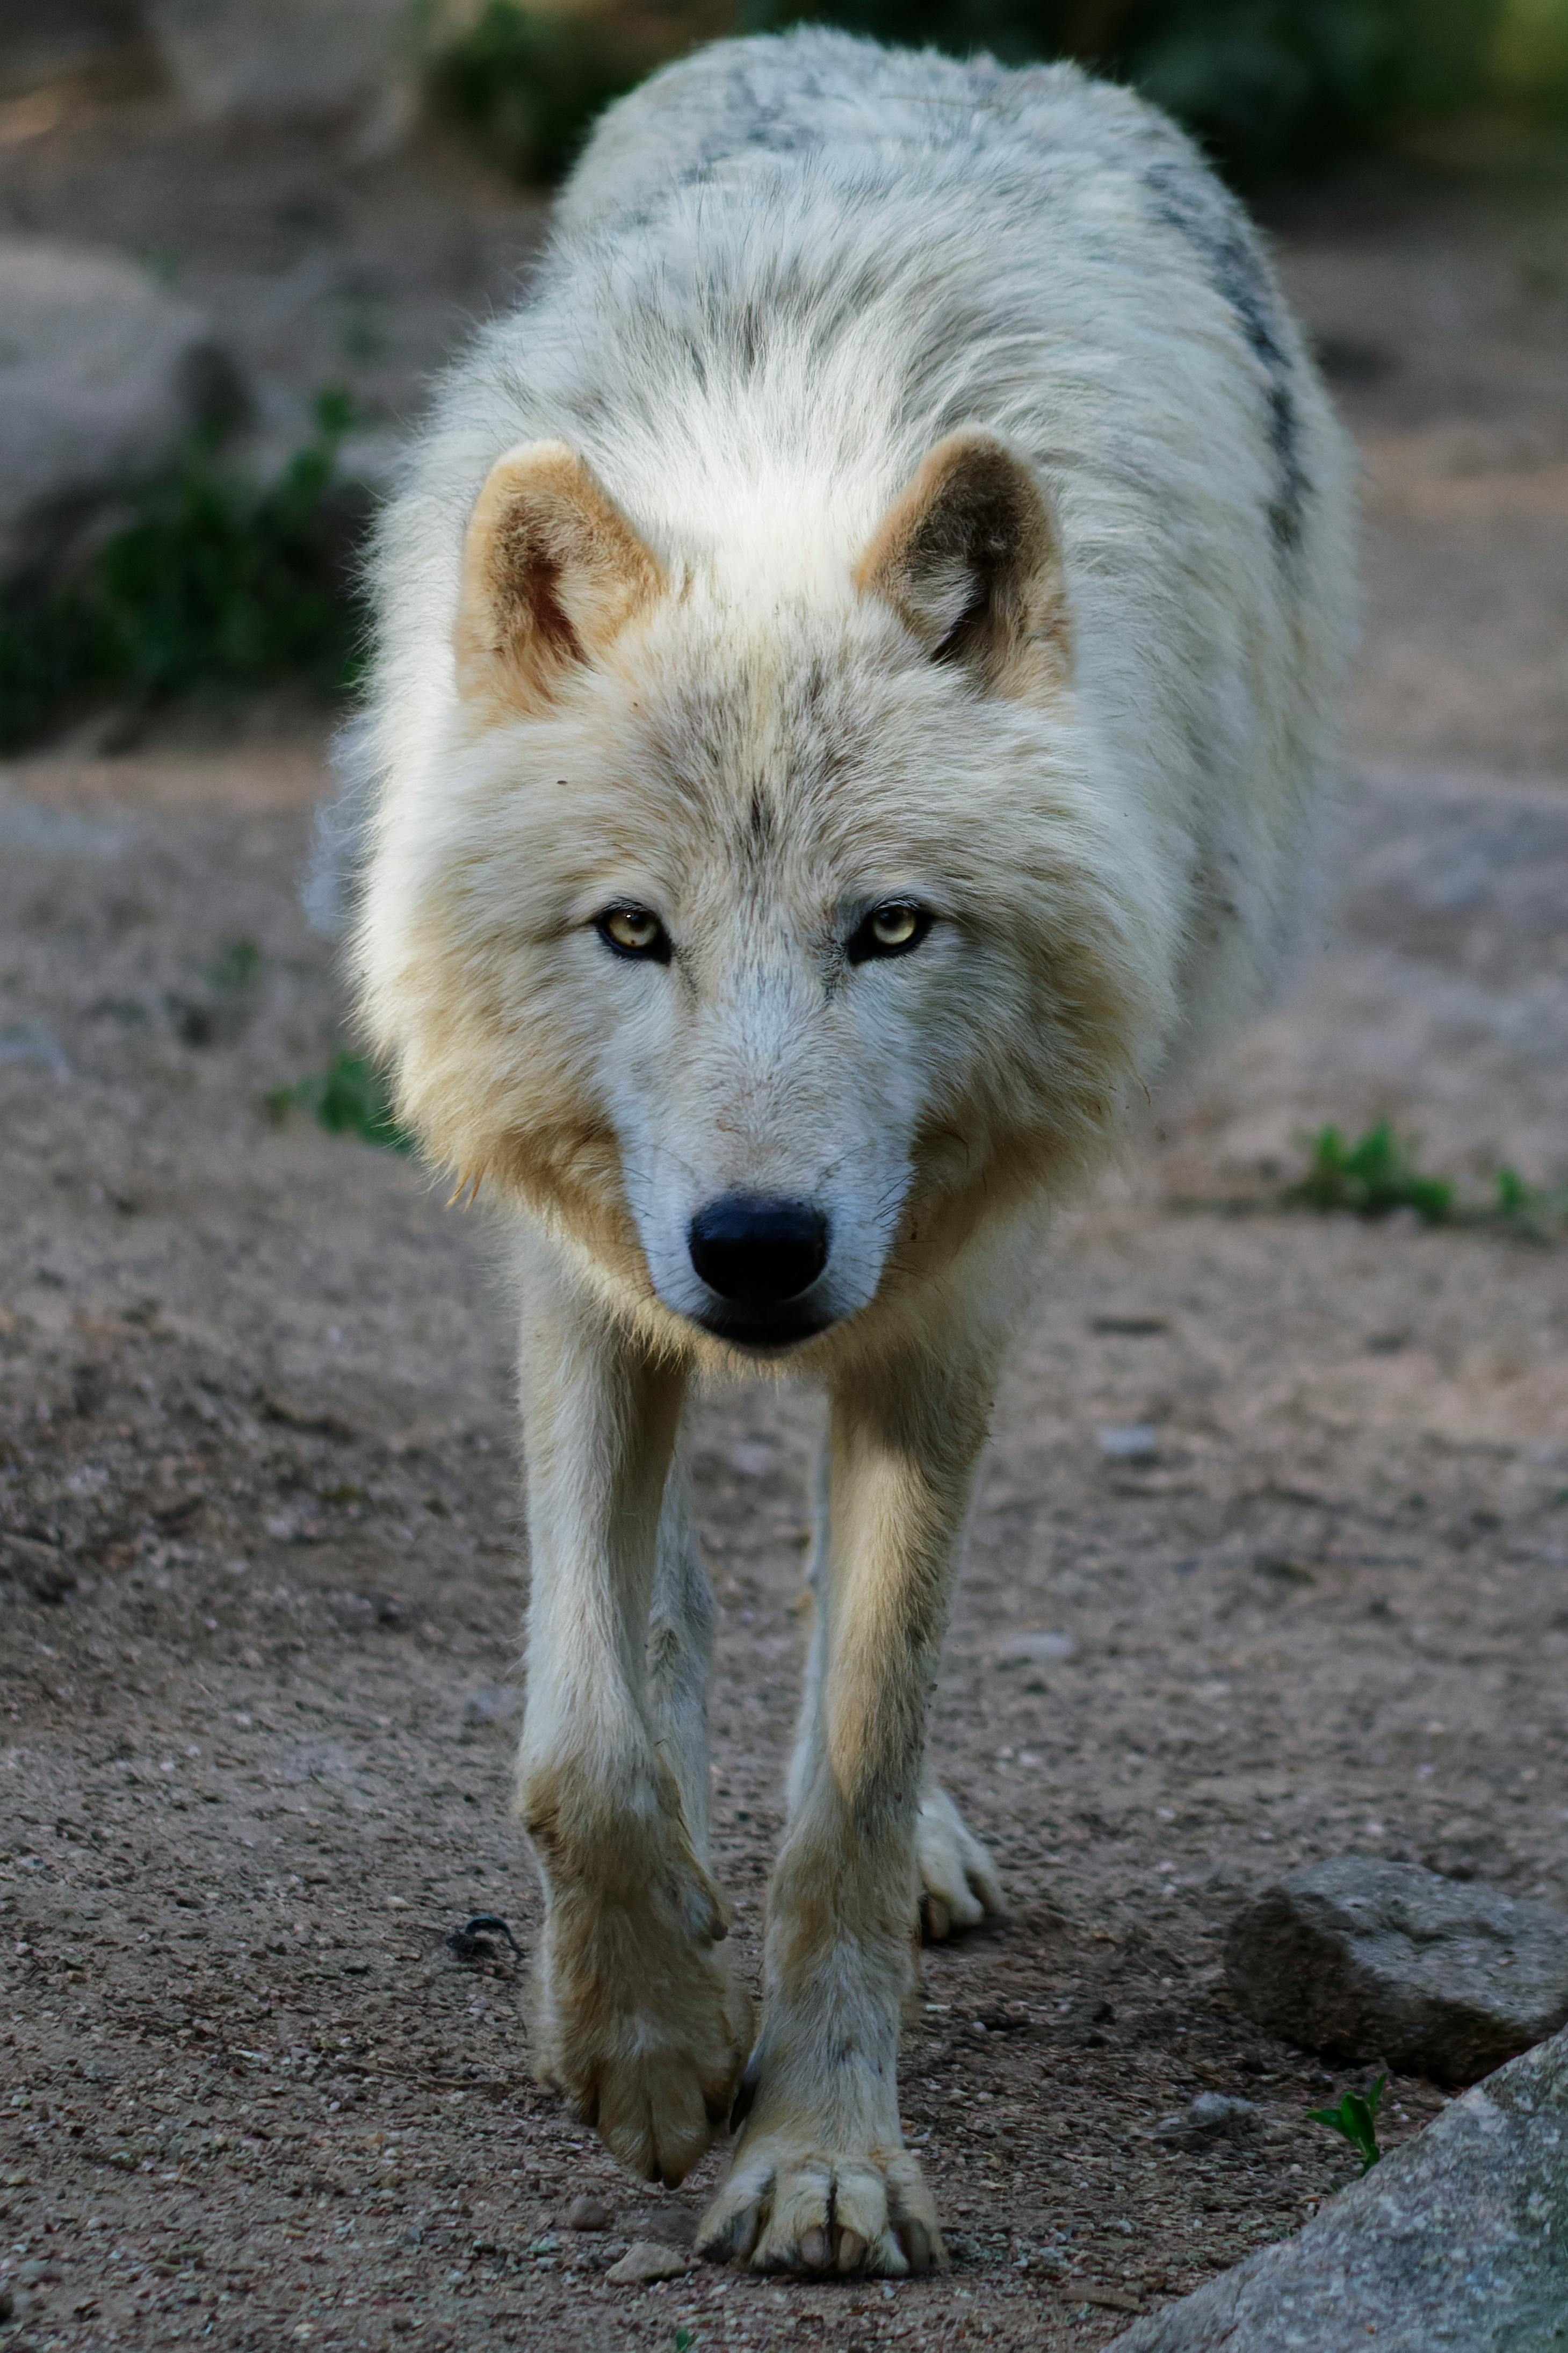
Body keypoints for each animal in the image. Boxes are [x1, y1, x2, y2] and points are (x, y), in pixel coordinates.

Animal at [353, 26, 1355, 2276]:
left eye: (887, 929)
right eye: (632, 931)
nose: (756, 1245)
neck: (785, 477)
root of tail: (942, 56)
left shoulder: (942, 1305)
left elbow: (860, 1776)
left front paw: (818, 2152)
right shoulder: (582, 1275)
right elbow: (580, 1740)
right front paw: (641, 2038)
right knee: (677, 1603)